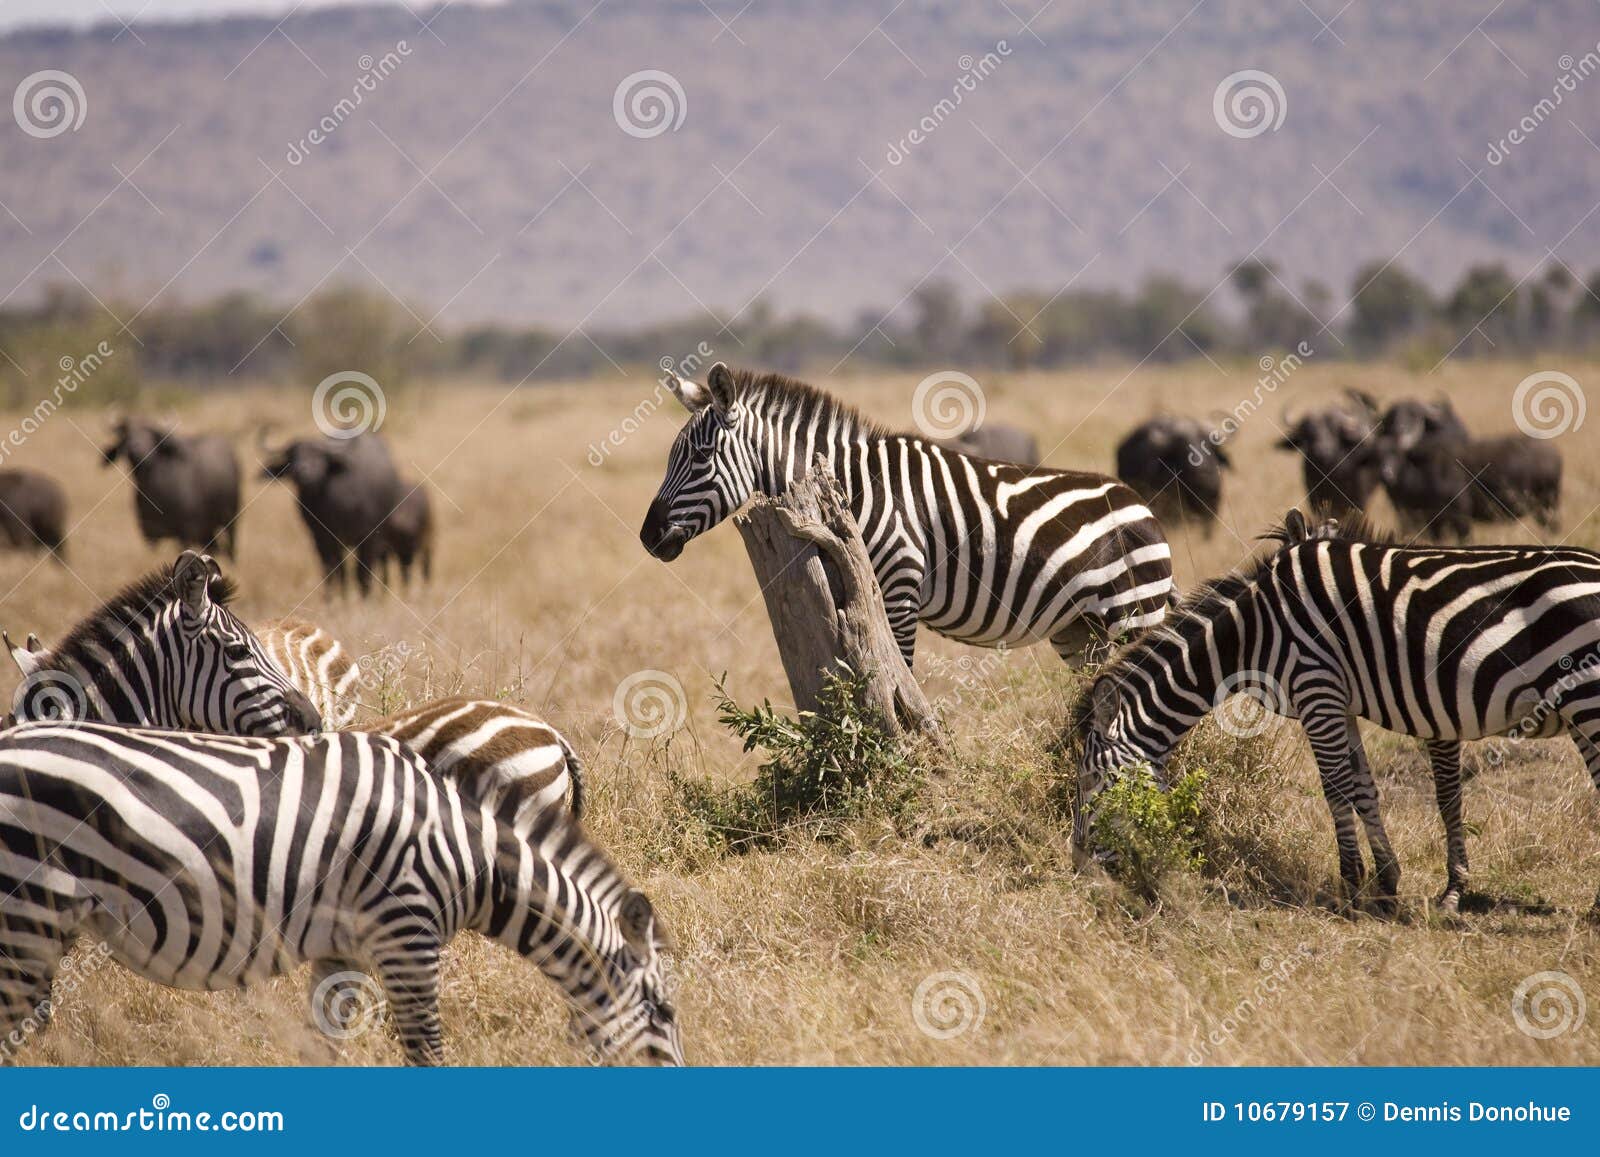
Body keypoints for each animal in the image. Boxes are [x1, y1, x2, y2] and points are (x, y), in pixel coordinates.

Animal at [0, 722, 682, 1066]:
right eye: (665, 1013)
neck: (469, 853)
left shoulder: (342, 948)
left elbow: (328, 1045)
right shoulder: (407, 933)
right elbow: (427, 1052)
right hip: (26, 911)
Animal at [639, 363, 1174, 666]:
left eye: (701, 457)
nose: (647, 536)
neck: (852, 488)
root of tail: (1143, 506)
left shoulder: (898, 586)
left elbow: (900, 669)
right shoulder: (847, 589)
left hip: (1132, 613)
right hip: (1079, 631)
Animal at [1072, 512, 1600, 914]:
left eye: (1093, 778)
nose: (1080, 867)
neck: (1255, 631)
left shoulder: (1316, 688)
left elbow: (1335, 789)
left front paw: (1350, 886)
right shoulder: (1336, 700)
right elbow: (1363, 787)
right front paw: (1385, 883)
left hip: (1586, 697)